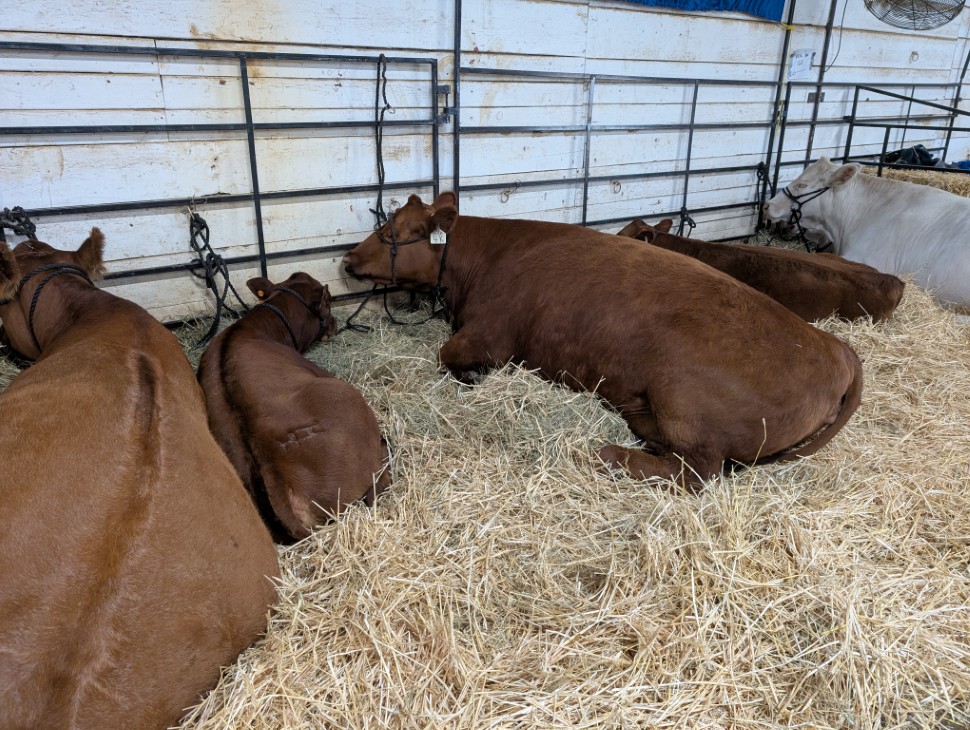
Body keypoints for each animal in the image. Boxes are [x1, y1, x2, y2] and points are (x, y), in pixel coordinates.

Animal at [342, 192, 863, 491]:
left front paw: (470, 376)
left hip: (682, 396)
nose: (346, 259)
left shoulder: (490, 334)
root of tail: (836, 348)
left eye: (392, 231)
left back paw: (610, 455)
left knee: (698, 471)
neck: (482, 261)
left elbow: (447, 355)